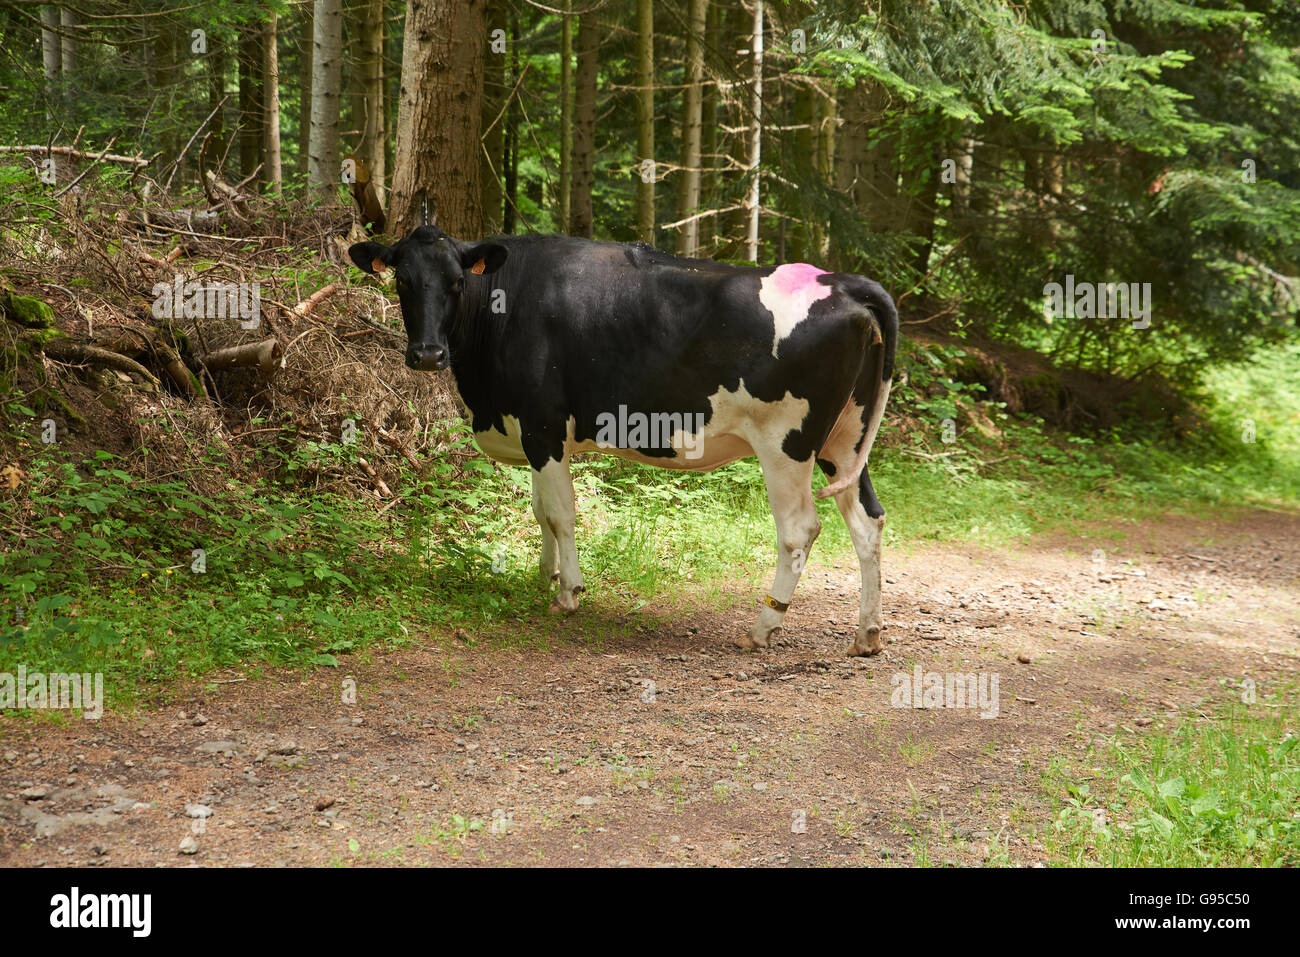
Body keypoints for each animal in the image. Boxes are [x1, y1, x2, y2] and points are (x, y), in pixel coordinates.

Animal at [348, 227, 898, 657]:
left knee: (799, 529)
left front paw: (568, 593)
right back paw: (867, 633)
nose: (427, 354)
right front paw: (542, 577)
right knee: (867, 521)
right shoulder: (534, 433)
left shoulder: (543, 425)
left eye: (457, 281)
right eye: (401, 280)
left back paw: (763, 627)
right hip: (845, 440)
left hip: (786, 440)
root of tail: (843, 281)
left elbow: (560, 513)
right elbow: (539, 510)